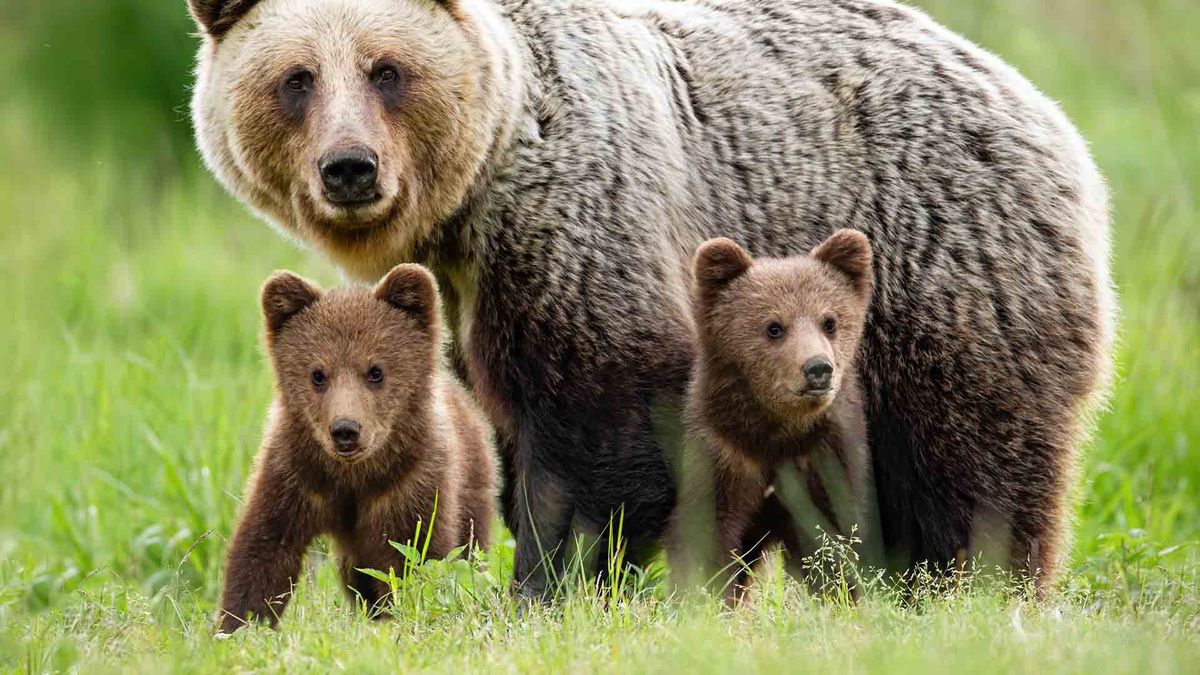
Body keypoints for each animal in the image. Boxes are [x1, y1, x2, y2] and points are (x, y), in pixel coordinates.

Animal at [215, 264, 496, 633]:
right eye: (317, 374)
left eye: (375, 371)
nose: (345, 430)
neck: (353, 476)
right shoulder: (294, 476)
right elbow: (263, 550)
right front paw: (238, 625)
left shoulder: (410, 485)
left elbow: (416, 556)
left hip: (472, 482)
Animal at [673, 230, 873, 602]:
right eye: (774, 327)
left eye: (830, 321)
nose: (818, 368)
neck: (776, 436)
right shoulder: (724, 455)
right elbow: (708, 535)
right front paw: (705, 596)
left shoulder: (822, 458)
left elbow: (832, 538)